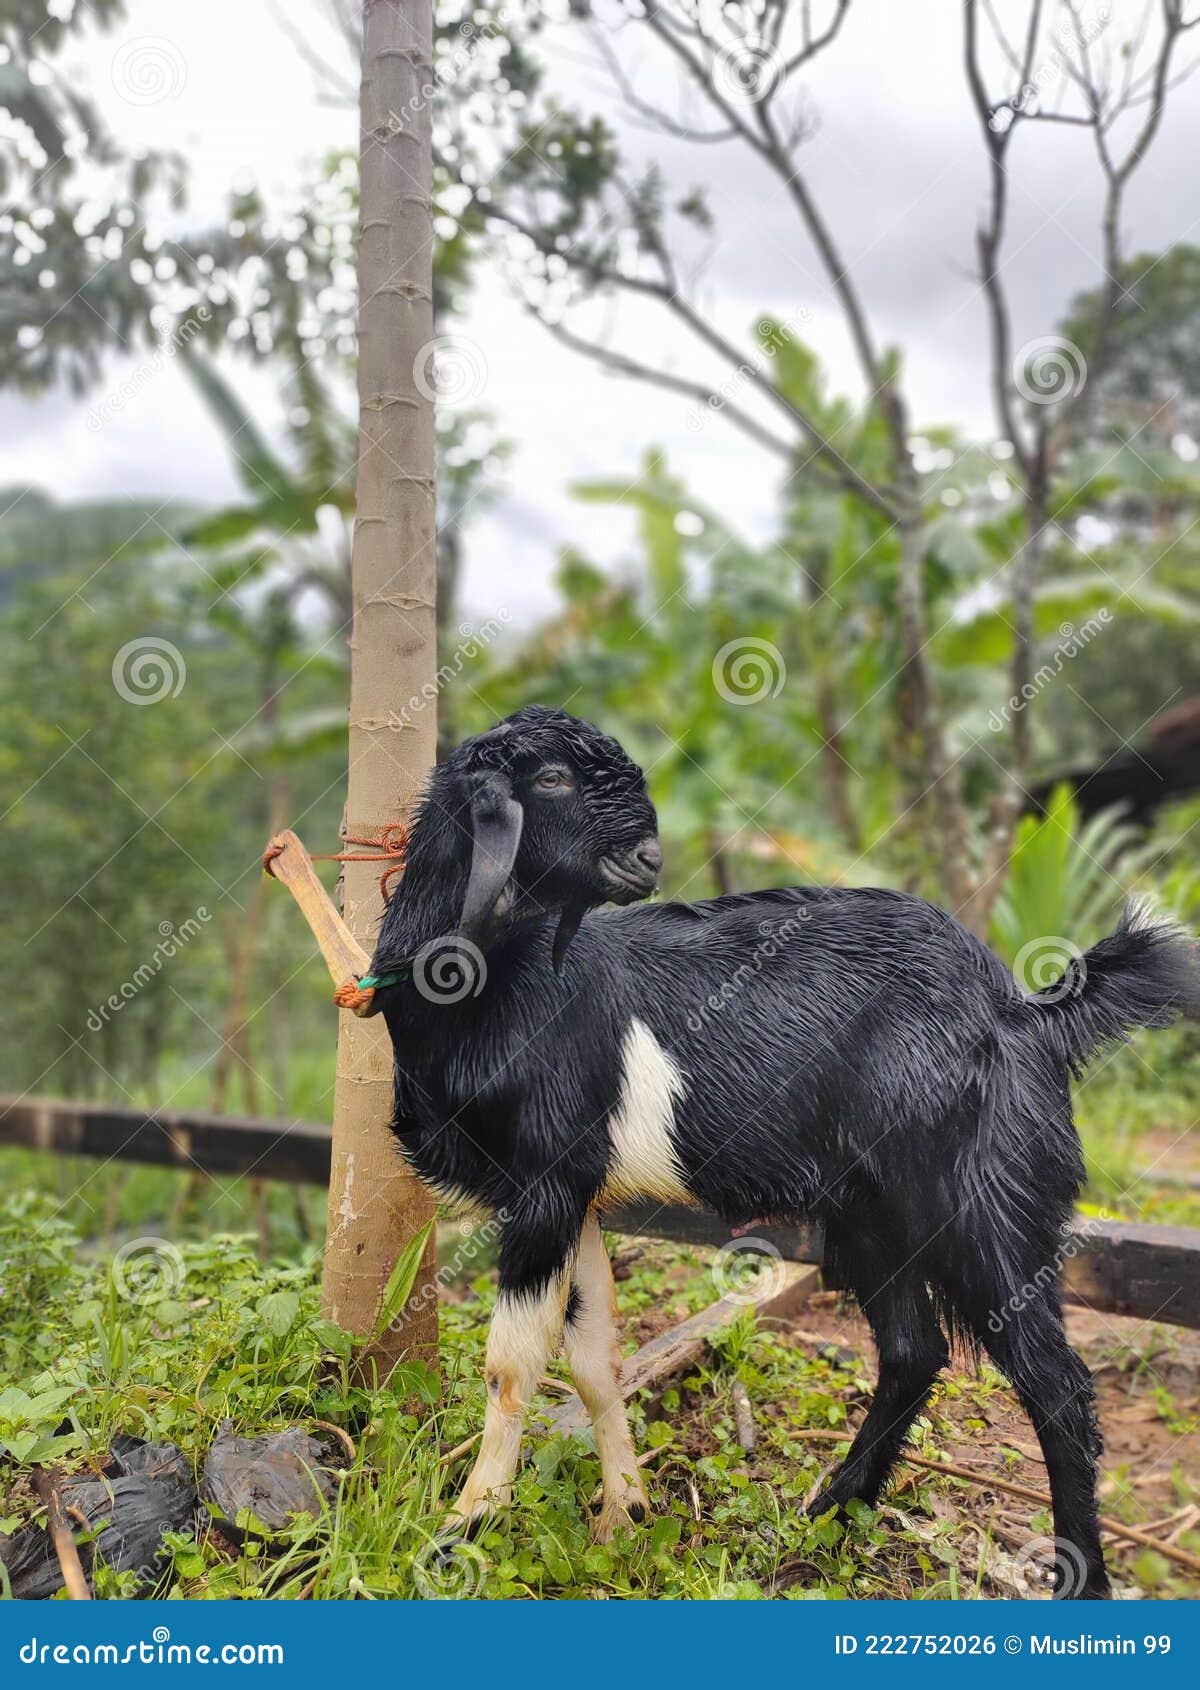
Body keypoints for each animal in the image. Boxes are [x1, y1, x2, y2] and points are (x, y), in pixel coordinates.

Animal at [363, 704, 1199, 1596]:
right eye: (549, 778)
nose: (649, 857)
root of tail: (1024, 1010)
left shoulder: (546, 1186)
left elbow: (512, 1363)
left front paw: (461, 1530)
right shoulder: (571, 1193)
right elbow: (592, 1360)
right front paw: (625, 1515)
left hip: (980, 1198)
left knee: (1056, 1383)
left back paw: (1081, 1577)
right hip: (873, 1212)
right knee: (915, 1350)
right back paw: (831, 1508)